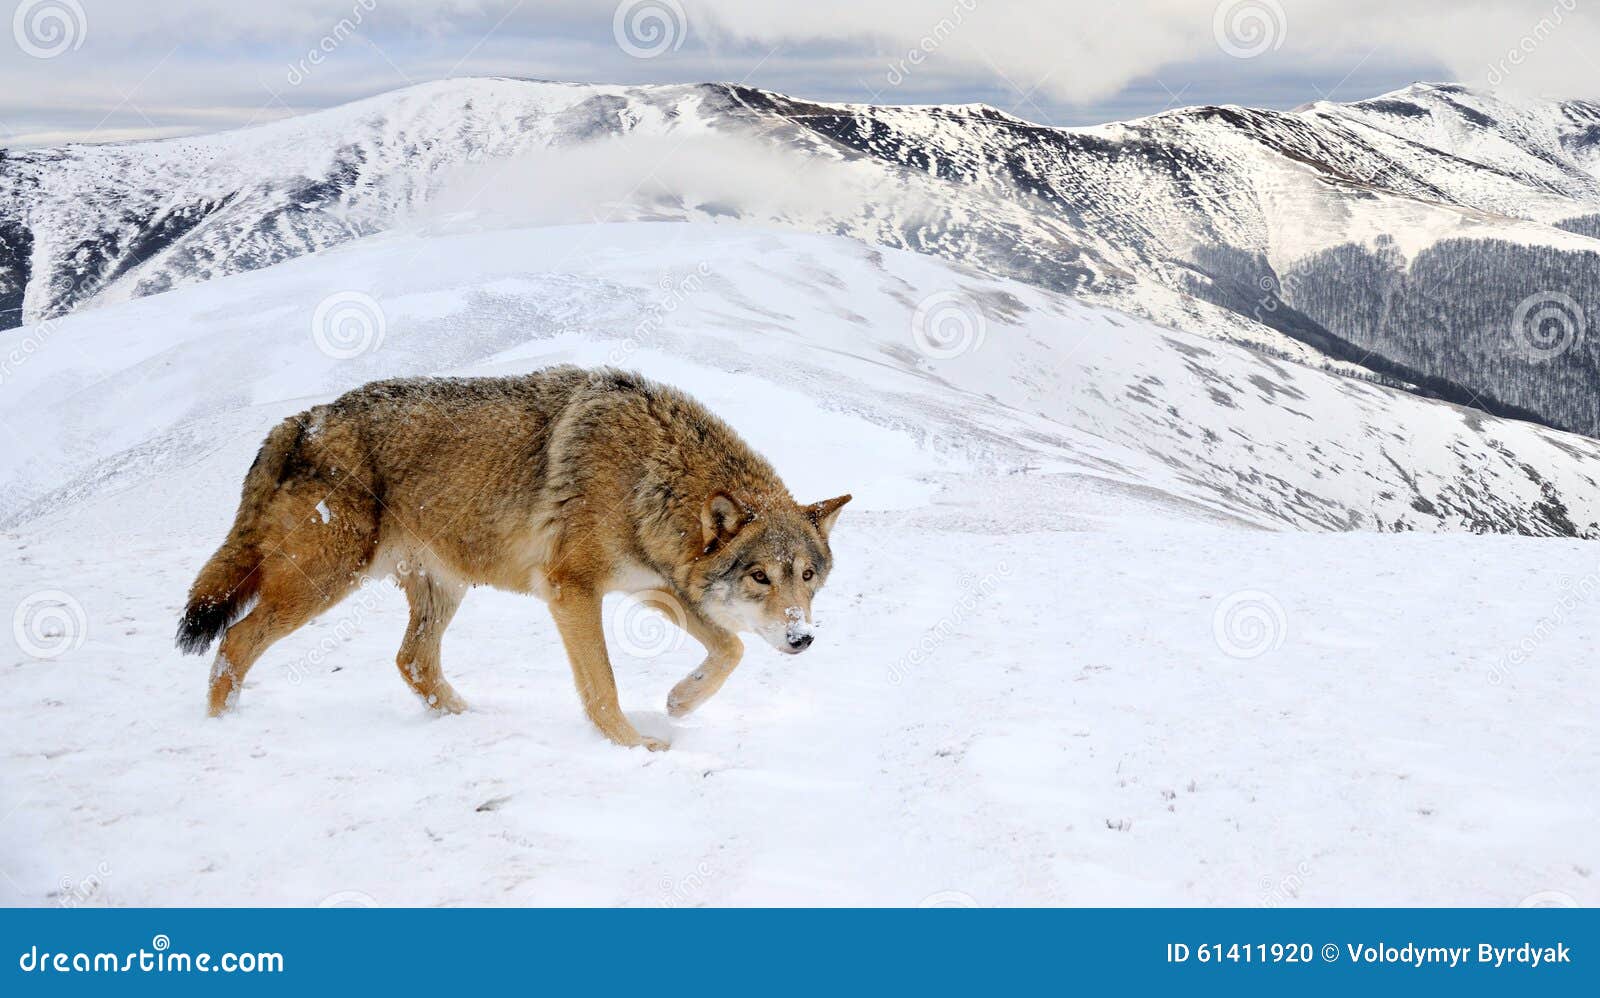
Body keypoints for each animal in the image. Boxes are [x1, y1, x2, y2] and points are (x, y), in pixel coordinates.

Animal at [175, 366, 850, 751]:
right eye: (760, 576)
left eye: (807, 577)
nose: (803, 638)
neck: (651, 475)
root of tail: (299, 420)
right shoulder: (572, 590)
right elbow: (603, 687)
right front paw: (633, 747)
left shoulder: (652, 586)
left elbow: (730, 648)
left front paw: (680, 703)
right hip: (323, 584)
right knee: (235, 641)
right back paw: (222, 730)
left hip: (440, 589)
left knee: (412, 662)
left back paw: (470, 720)